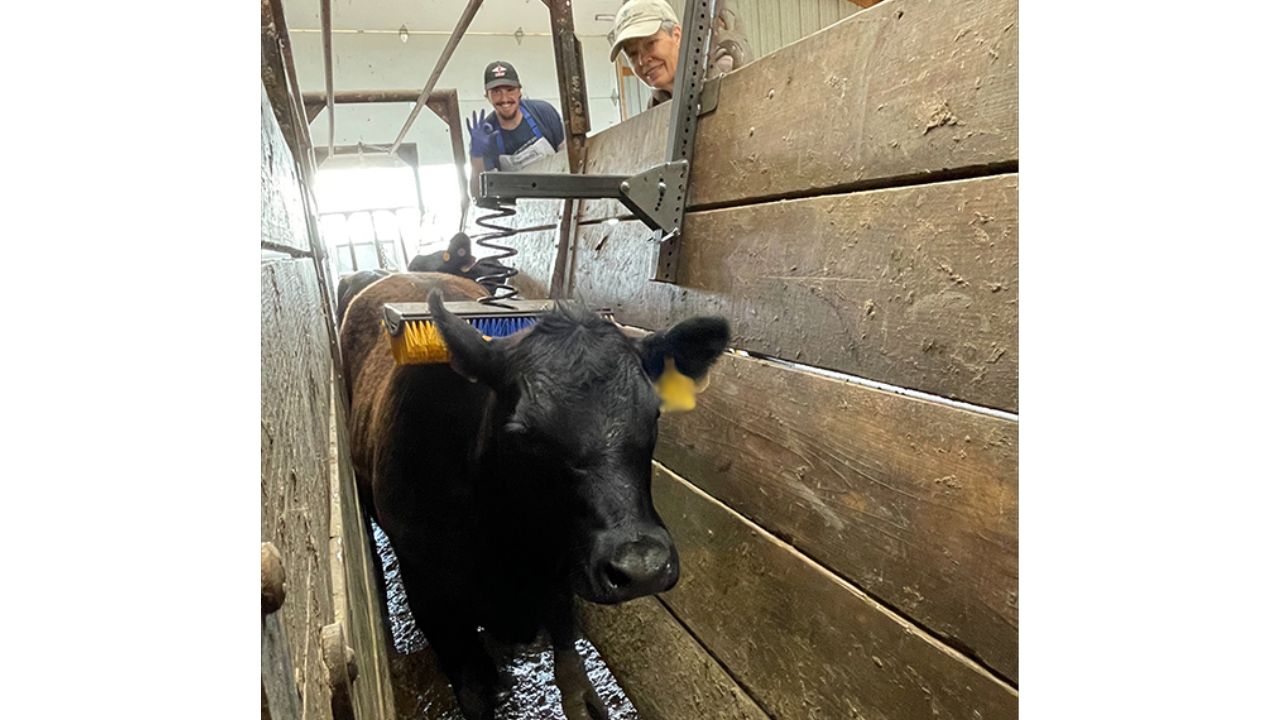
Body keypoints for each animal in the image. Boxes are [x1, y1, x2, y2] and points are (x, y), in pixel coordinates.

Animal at [338, 272, 729, 720]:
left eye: (654, 413)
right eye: (523, 432)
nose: (642, 567)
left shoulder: (560, 569)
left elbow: (571, 668)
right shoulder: (432, 602)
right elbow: (474, 693)